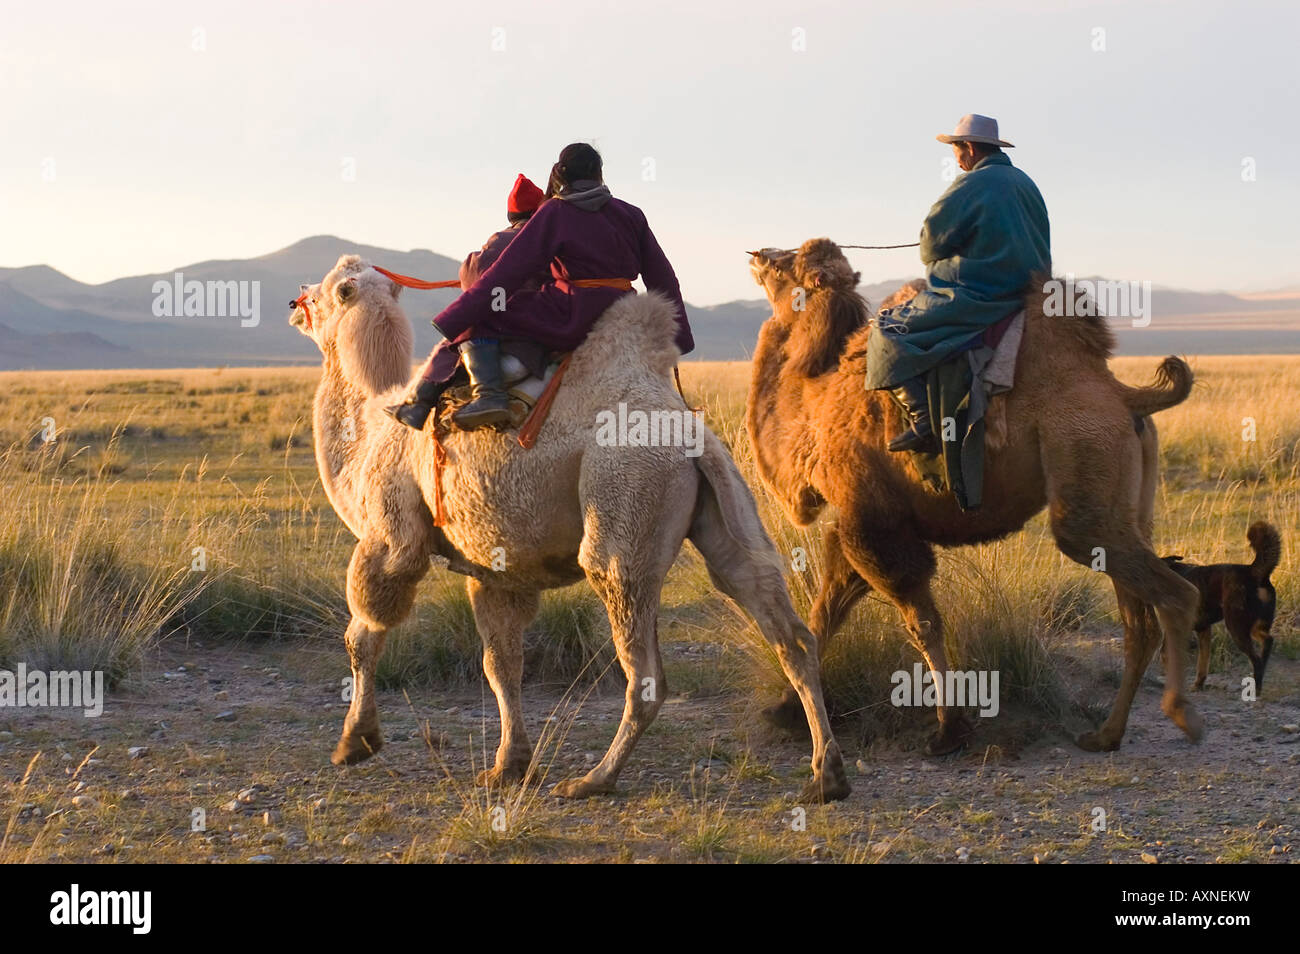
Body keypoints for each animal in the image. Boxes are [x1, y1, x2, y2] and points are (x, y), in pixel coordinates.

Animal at [289, 254, 849, 801]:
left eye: (330, 288)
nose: (295, 302)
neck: (368, 428)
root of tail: (691, 436)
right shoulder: (496, 568)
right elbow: (502, 665)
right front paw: (508, 766)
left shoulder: (390, 535)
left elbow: (363, 635)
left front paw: (355, 741)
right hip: (730, 513)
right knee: (786, 630)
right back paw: (826, 775)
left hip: (623, 505)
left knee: (642, 666)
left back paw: (595, 779)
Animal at [747, 238, 1201, 755]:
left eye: (788, 264)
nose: (759, 253)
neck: (815, 403)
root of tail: (1125, 397)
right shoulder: (861, 522)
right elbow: (827, 610)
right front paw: (784, 709)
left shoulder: (872, 520)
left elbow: (920, 622)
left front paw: (949, 727)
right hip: (1124, 506)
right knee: (1136, 619)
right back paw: (1106, 733)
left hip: (1082, 461)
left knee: (1169, 591)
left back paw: (1180, 714)